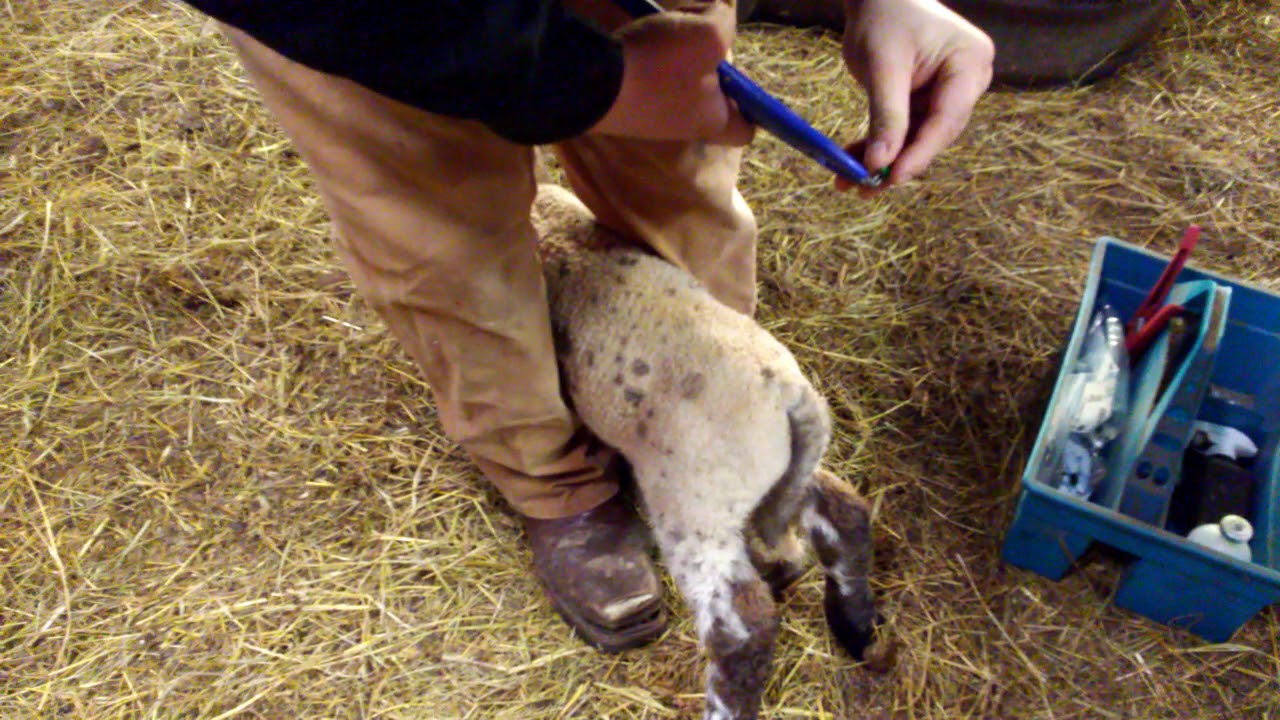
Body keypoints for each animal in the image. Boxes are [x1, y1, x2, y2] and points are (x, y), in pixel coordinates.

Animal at [532, 183, 882, 720]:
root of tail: (790, 395)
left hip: (696, 502)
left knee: (741, 622)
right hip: (779, 477)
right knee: (844, 513)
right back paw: (856, 629)